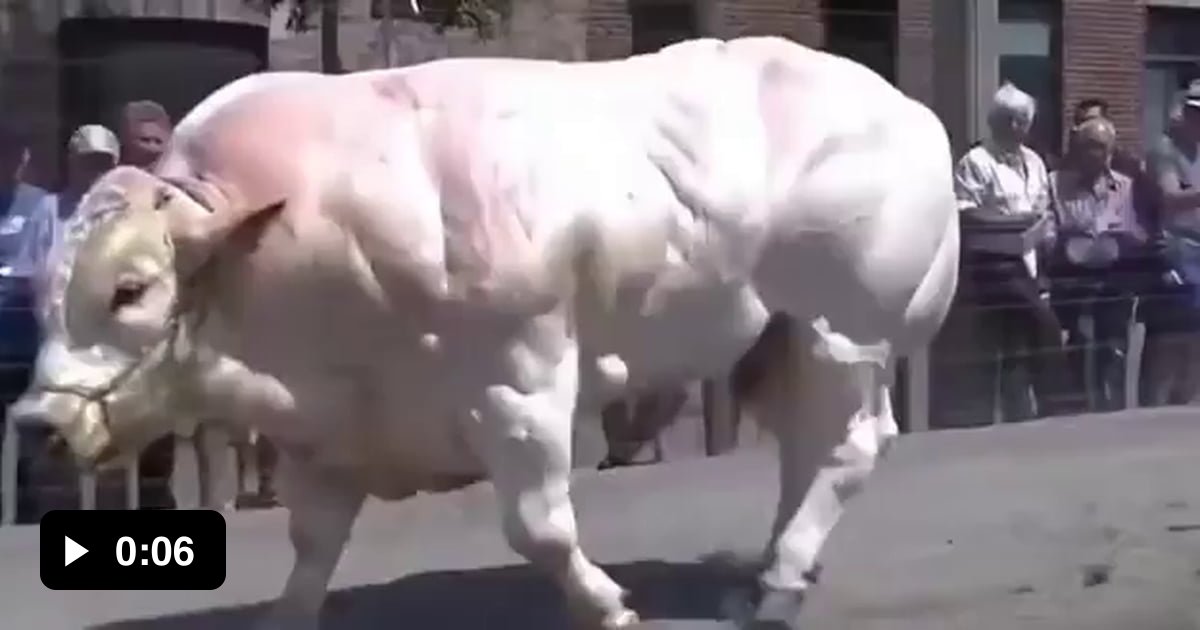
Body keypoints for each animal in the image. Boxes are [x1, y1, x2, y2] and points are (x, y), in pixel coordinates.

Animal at [8, 37, 959, 629]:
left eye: (130, 289)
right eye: (44, 295)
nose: (37, 425)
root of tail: (902, 107)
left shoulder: (521, 382)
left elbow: (539, 527)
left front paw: (608, 605)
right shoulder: (328, 430)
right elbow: (311, 552)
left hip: (846, 330)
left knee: (850, 441)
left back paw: (778, 580)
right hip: (779, 337)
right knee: (806, 443)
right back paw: (771, 567)